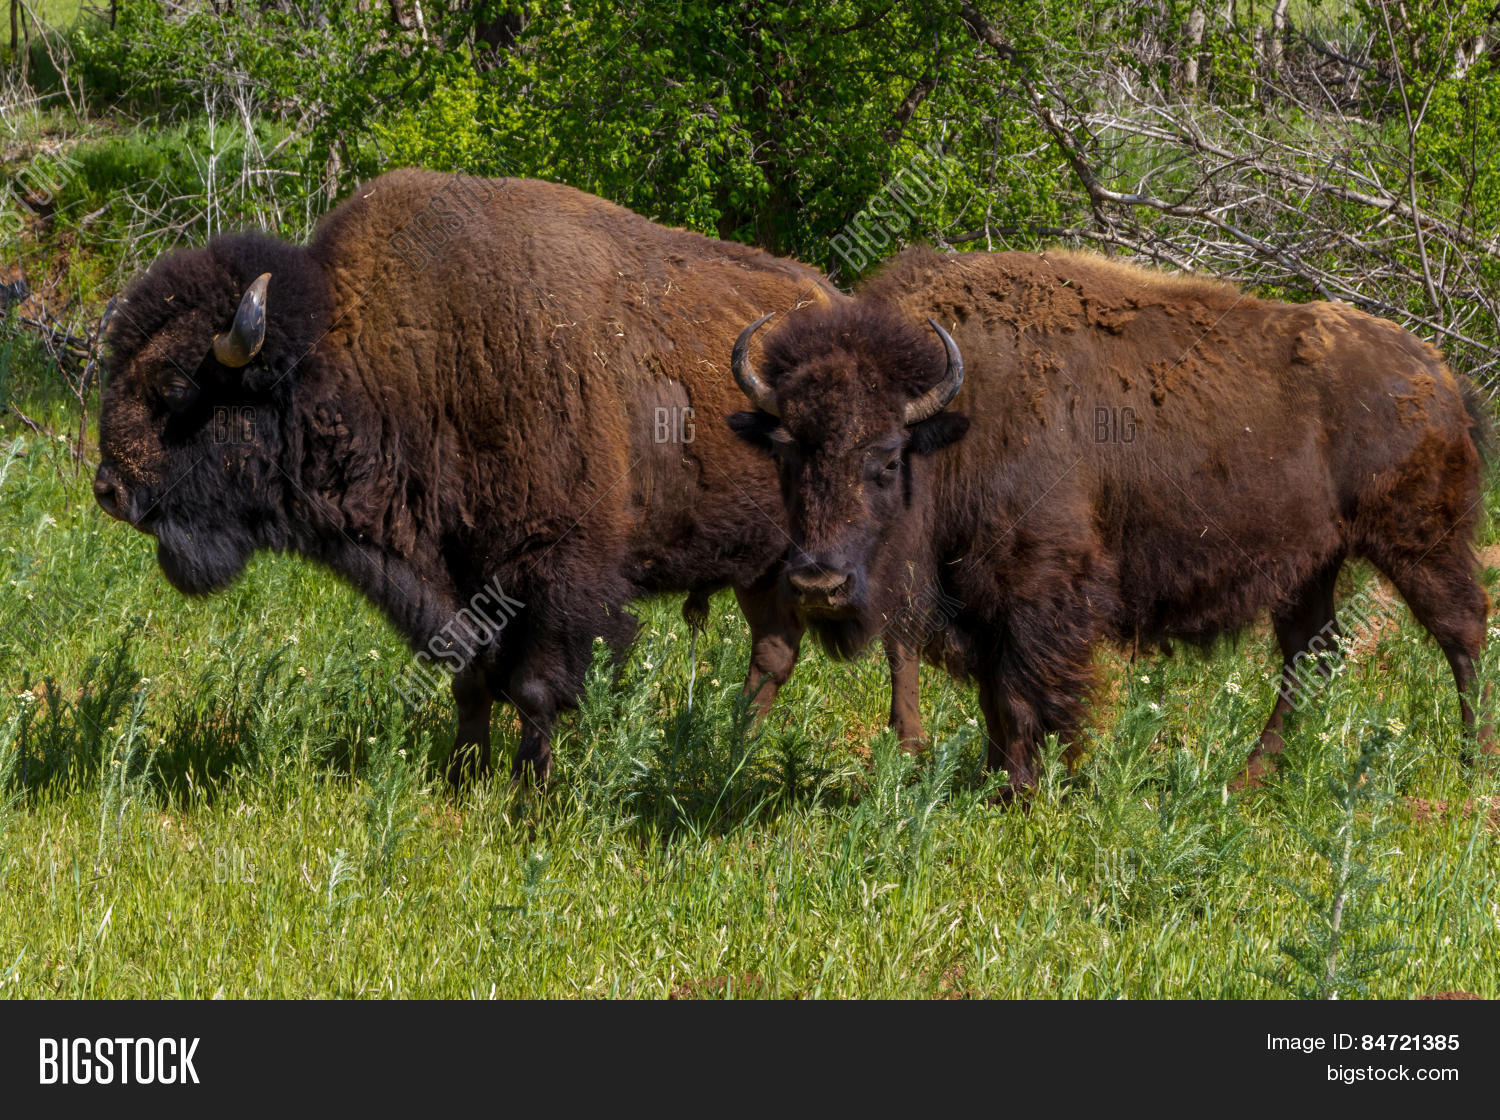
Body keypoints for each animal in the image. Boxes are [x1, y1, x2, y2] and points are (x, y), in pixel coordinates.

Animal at [95, 169, 922, 786]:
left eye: (175, 388)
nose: (109, 488)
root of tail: (843, 302)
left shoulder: (555, 573)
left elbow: (536, 682)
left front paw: (532, 792)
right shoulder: (455, 575)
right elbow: (469, 671)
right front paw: (465, 773)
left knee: (895, 635)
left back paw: (898, 749)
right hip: (764, 563)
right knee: (775, 652)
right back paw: (726, 745)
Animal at [729, 247, 1491, 791]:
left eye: (887, 458)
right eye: (786, 453)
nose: (817, 584)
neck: (956, 421)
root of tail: (1441, 373)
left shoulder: (1042, 584)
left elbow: (1029, 688)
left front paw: (1031, 788)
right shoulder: (975, 601)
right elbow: (996, 693)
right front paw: (997, 781)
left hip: (1420, 542)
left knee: (1462, 629)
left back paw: (1471, 763)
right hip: (1310, 565)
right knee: (1312, 652)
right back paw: (1249, 776)